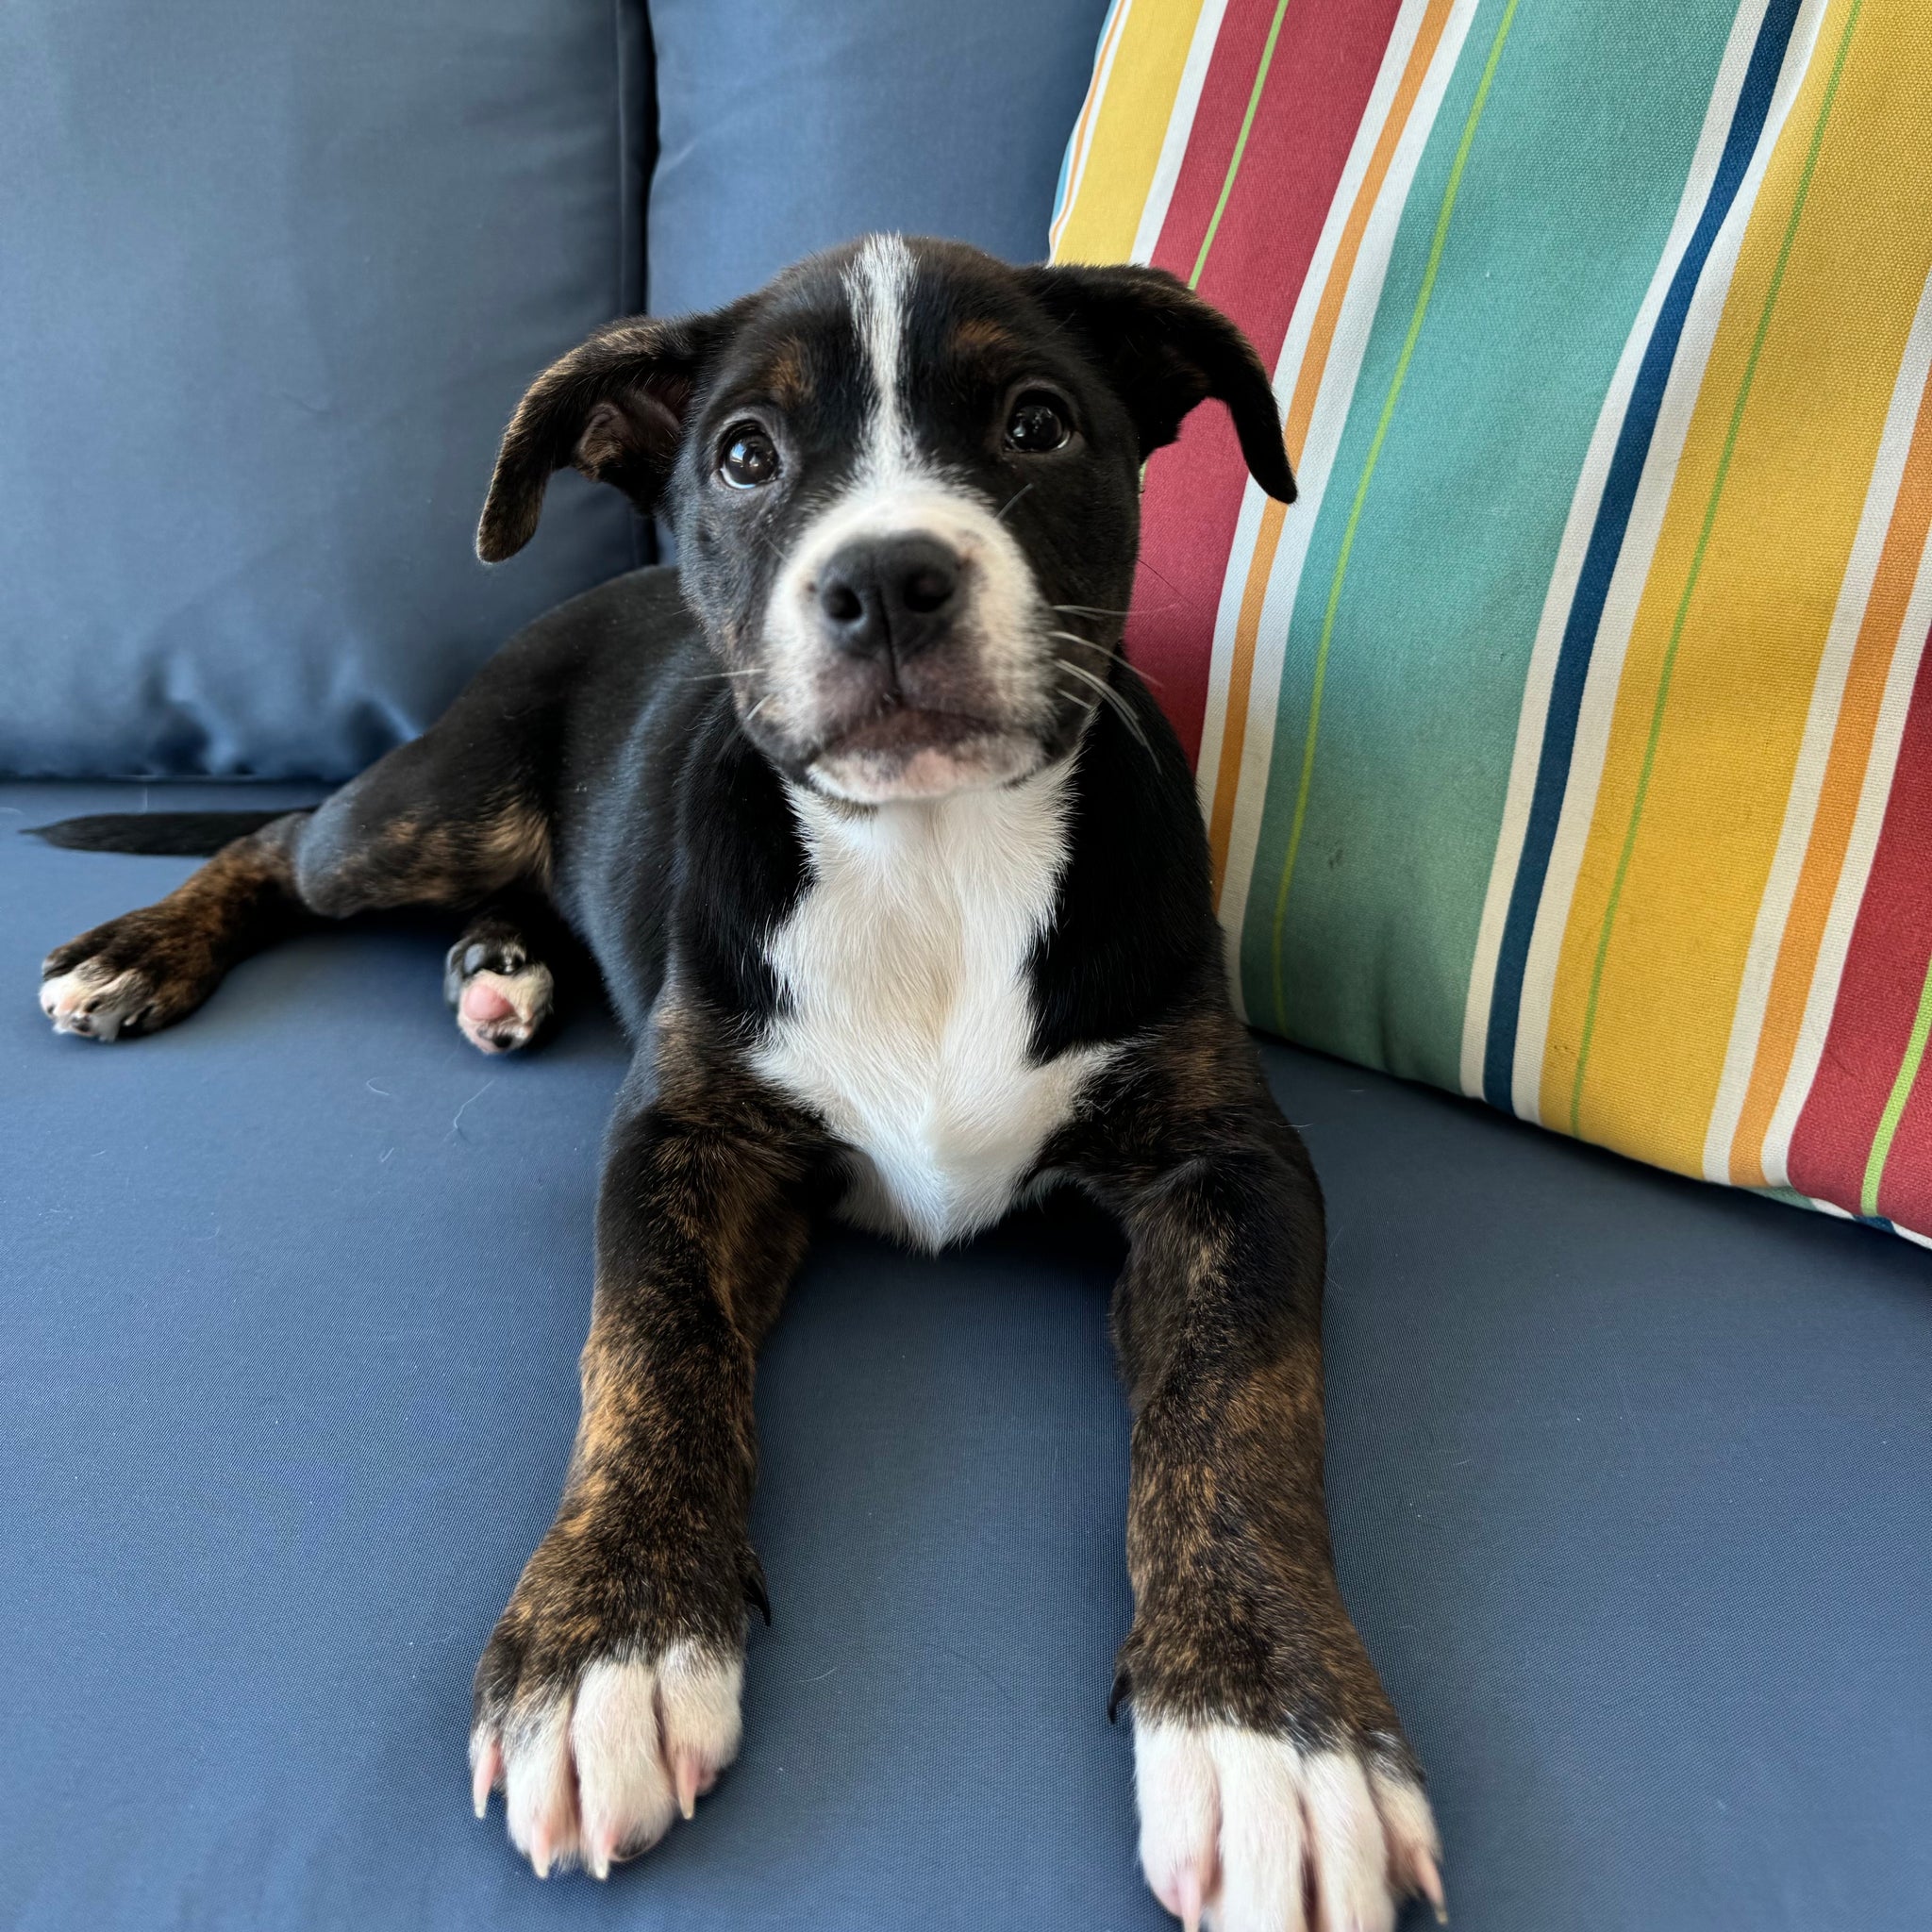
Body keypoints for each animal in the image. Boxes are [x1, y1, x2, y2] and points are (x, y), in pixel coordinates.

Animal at [35, 235, 1442, 1931]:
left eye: (1037, 423)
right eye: (746, 455)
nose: (887, 580)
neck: (930, 856)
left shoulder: (1227, 1161)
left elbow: (1239, 1405)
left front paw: (1268, 1727)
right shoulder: (684, 1135)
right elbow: (651, 1353)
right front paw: (613, 1643)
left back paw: (499, 965)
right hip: (428, 805)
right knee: (276, 838)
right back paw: (140, 952)